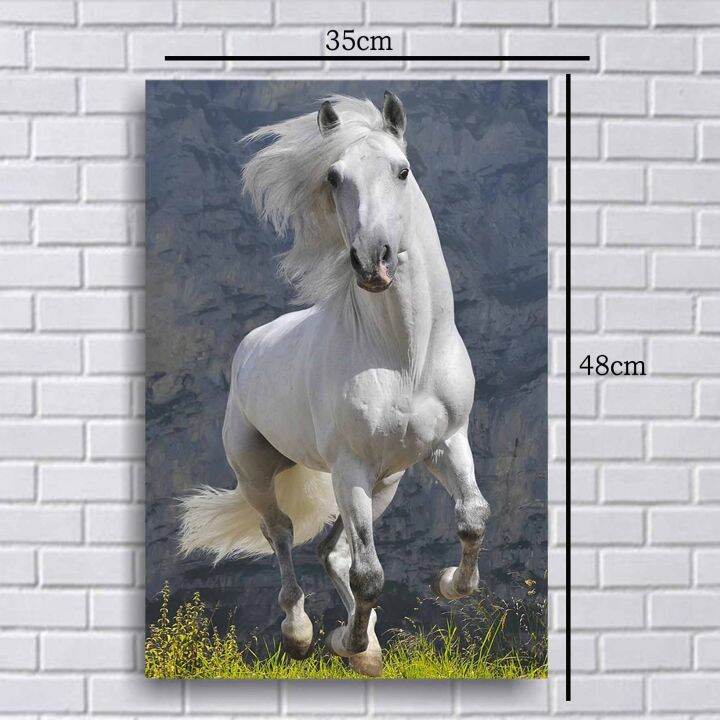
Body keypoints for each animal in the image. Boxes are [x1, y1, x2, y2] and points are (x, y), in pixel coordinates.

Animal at [178, 91, 491, 677]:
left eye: (402, 170)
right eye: (334, 176)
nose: (373, 262)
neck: (404, 357)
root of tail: (250, 346)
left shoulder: (446, 443)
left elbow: (473, 519)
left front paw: (447, 586)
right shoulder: (350, 469)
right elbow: (371, 575)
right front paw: (344, 641)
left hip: (385, 482)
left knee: (331, 551)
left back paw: (363, 647)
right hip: (262, 474)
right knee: (281, 535)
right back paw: (302, 634)